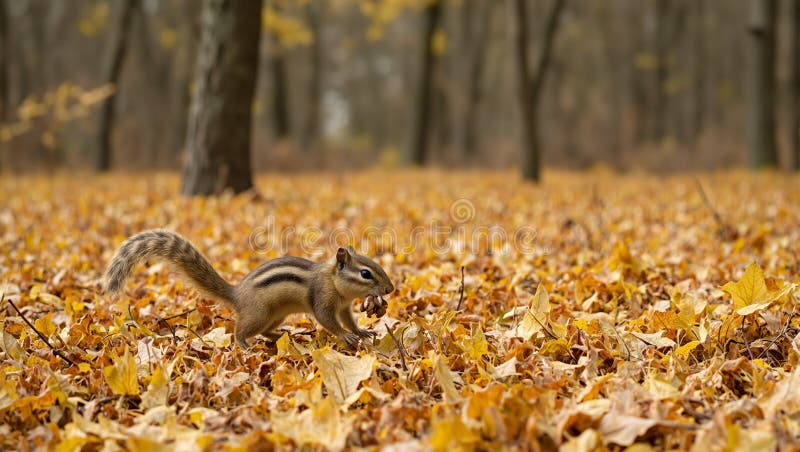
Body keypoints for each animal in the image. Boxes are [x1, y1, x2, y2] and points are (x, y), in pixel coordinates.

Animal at [104, 230, 394, 348]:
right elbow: (327, 320)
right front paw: (345, 336)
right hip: (259, 313)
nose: (390, 288)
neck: (334, 281)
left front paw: (361, 331)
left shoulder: (344, 306)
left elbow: (349, 319)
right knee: (239, 331)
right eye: (366, 273)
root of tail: (237, 294)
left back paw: (280, 335)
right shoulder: (323, 299)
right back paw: (245, 344)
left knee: (266, 331)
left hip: (276, 315)